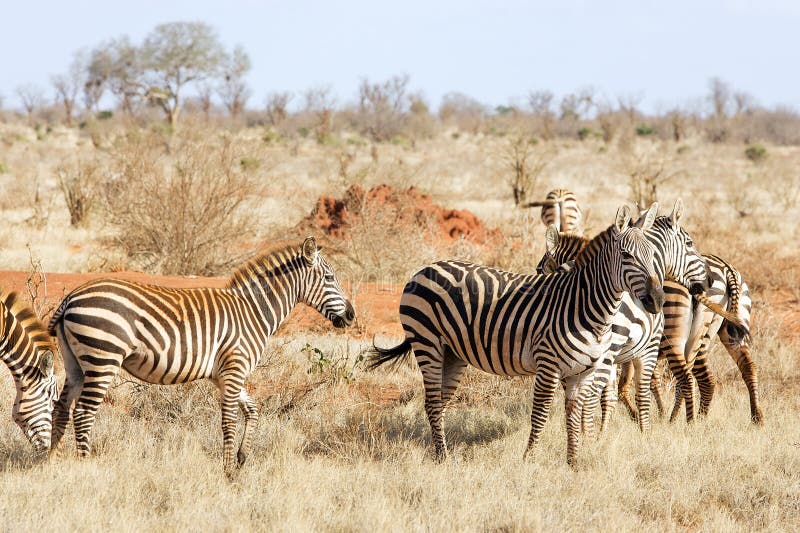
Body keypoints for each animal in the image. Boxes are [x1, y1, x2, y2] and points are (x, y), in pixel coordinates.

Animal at [47, 237, 354, 475]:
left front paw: (242, 457)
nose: (352, 316)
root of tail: (71, 297)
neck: (254, 310)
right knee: (84, 412)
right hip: (104, 357)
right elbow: (229, 420)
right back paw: (86, 465)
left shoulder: (224, 375)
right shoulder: (234, 368)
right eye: (330, 278)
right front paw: (228, 472)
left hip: (76, 363)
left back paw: (50, 462)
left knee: (61, 408)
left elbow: (253, 410)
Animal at [368, 204, 667, 467]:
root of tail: (425, 268)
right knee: (431, 402)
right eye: (627, 255)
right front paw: (529, 459)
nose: (657, 300)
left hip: (452, 353)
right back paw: (442, 458)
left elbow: (573, 416)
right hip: (427, 343)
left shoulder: (582, 372)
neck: (586, 308)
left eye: (653, 255)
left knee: (440, 403)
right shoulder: (549, 366)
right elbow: (541, 415)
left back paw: (441, 452)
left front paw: (574, 463)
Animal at [537, 207, 759, 425]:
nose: (709, 280)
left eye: (540, 269)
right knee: (743, 368)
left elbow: (618, 388)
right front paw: (651, 414)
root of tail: (726, 268)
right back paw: (750, 417)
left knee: (693, 379)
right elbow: (632, 385)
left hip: (676, 339)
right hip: (721, 333)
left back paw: (688, 423)